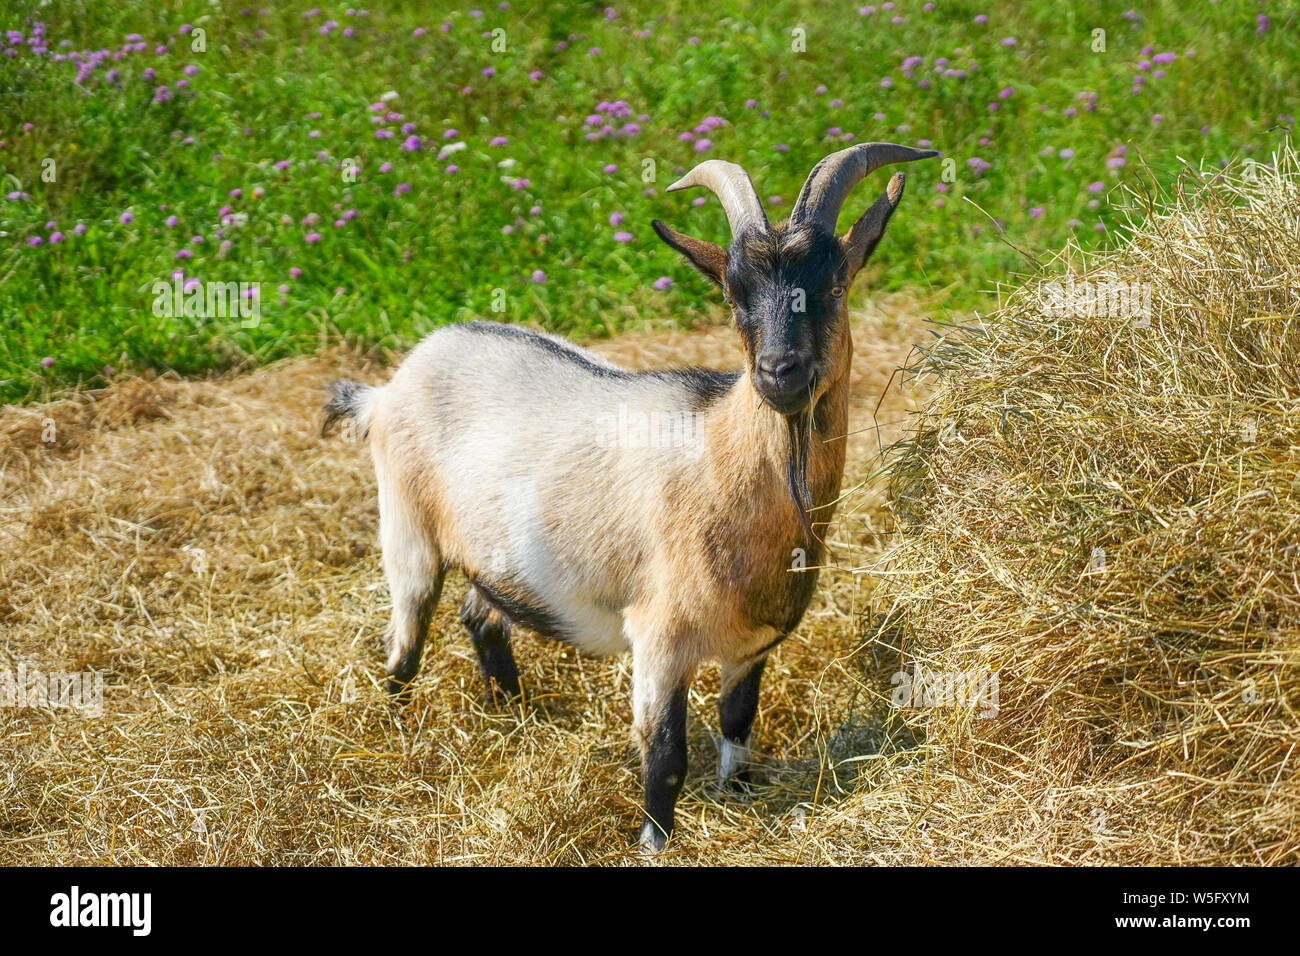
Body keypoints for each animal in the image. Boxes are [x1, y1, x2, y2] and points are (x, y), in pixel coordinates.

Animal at [324, 142, 937, 851]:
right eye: (733, 296)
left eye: (835, 286)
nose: (778, 373)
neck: (719, 458)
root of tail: (386, 389)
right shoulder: (659, 635)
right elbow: (665, 755)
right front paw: (654, 842)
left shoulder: (754, 642)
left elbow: (738, 722)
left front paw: (739, 796)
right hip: (407, 529)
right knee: (404, 642)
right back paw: (397, 723)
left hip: (499, 555)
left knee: (480, 618)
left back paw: (513, 714)